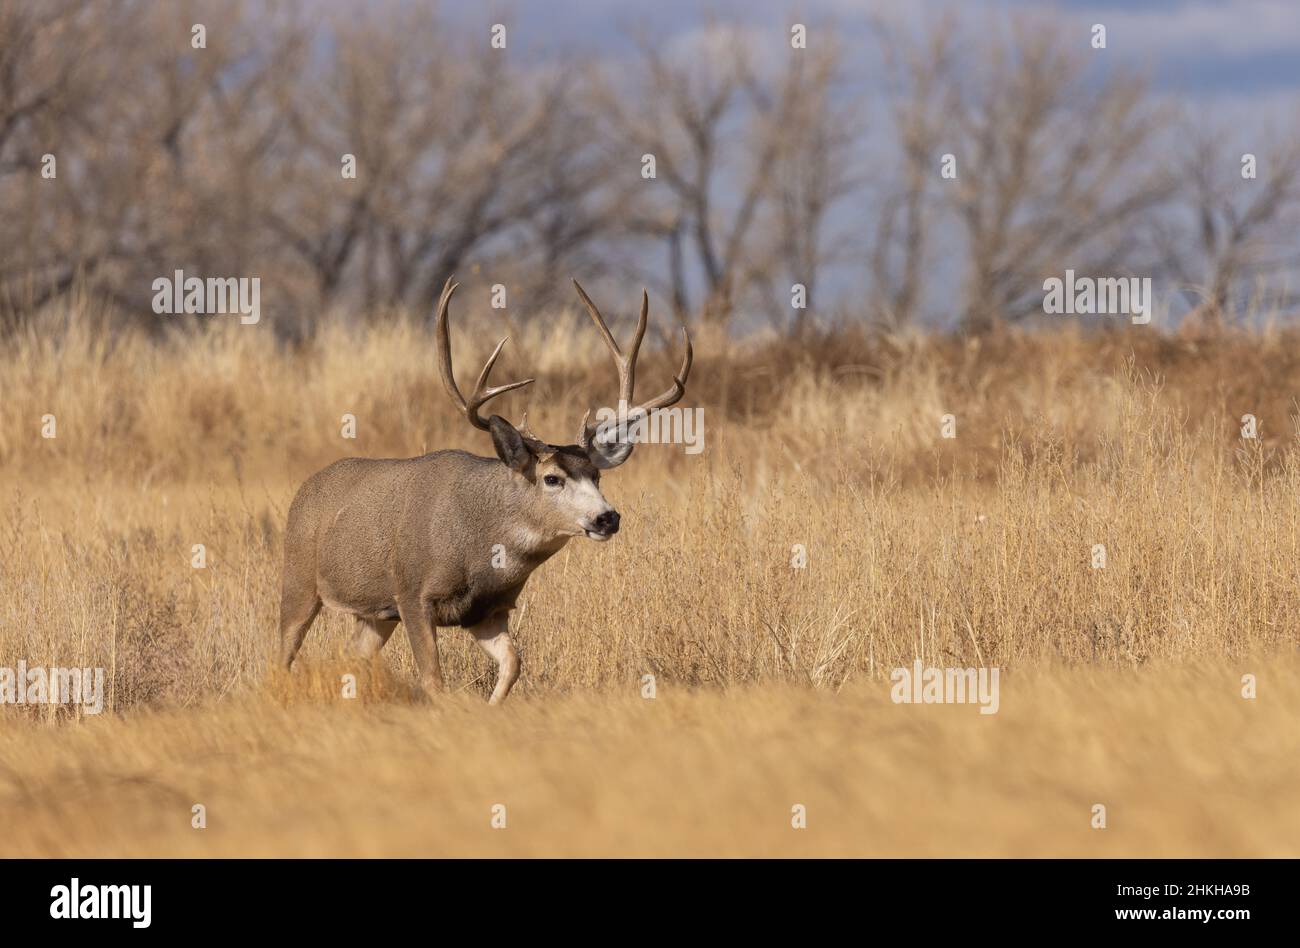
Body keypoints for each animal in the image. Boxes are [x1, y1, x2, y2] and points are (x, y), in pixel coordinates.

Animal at [278, 277, 692, 704]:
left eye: (597, 475)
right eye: (552, 478)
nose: (607, 517)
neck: (481, 546)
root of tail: (306, 487)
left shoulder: (488, 611)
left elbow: (513, 664)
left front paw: (492, 706)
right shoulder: (412, 593)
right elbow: (433, 679)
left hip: (375, 614)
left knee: (349, 655)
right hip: (298, 578)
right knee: (283, 654)